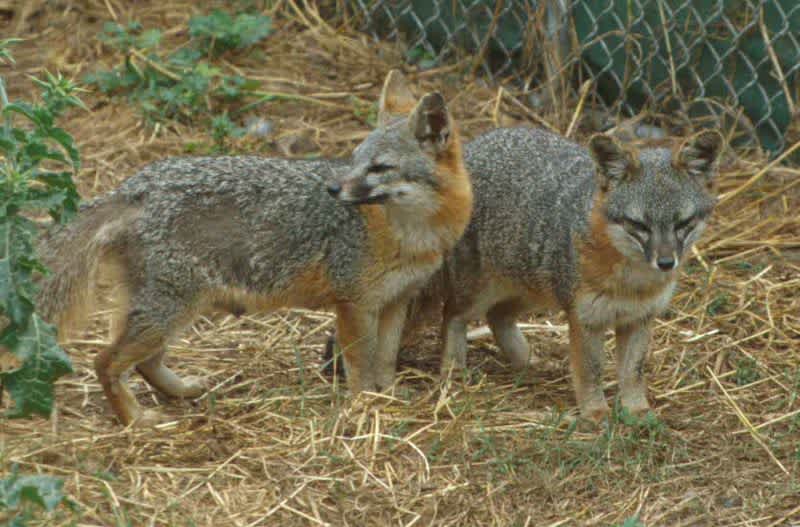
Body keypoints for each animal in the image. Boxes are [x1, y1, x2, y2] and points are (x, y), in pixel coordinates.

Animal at [37, 70, 473, 426]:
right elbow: (361, 366)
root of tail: (133, 186)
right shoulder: (354, 304)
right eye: (353, 160)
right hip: (170, 309)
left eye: (380, 168)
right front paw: (365, 407)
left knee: (145, 361)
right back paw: (136, 419)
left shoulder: (396, 300)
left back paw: (181, 391)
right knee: (105, 361)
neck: (412, 236)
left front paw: (389, 397)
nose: (332, 189)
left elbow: (385, 359)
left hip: (178, 310)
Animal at [325, 121, 723, 424]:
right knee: (453, 315)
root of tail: (476, 146)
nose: (666, 262)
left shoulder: (639, 319)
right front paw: (595, 413)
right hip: (483, 290)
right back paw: (454, 370)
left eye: (683, 223)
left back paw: (526, 360)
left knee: (498, 317)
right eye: (638, 225)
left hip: (534, 289)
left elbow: (633, 371)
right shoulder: (585, 319)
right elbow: (590, 369)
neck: (633, 282)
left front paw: (637, 411)